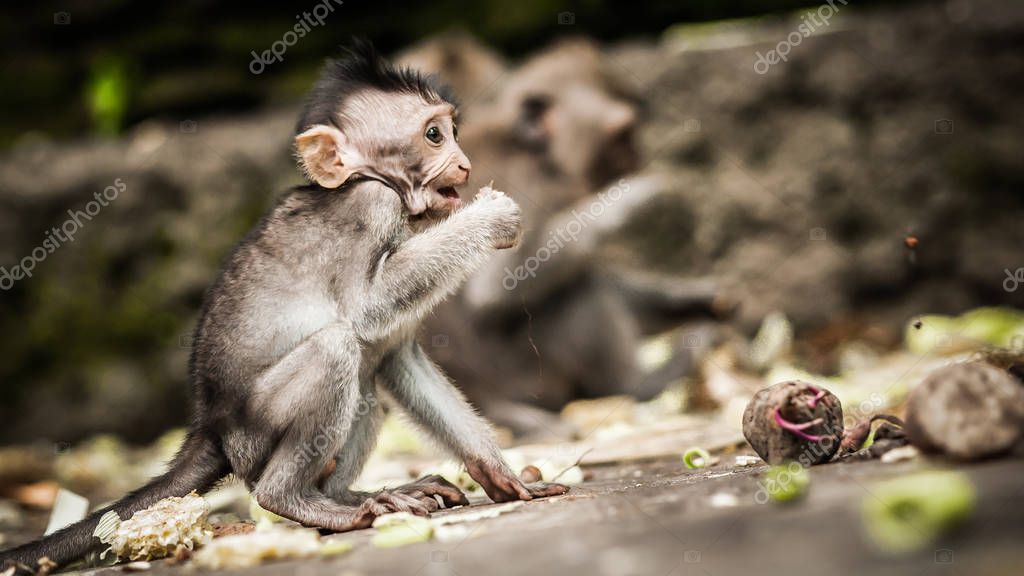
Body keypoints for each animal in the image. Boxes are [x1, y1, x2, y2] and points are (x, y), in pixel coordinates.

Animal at [0, 42, 566, 574]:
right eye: (433, 136)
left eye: (452, 131)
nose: (465, 163)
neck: (381, 189)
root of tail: (211, 427)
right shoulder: (373, 207)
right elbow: (368, 308)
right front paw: (493, 218)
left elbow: (397, 355)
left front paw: (500, 475)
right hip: (255, 432)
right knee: (337, 349)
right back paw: (299, 501)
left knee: (365, 381)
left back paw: (350, 495)